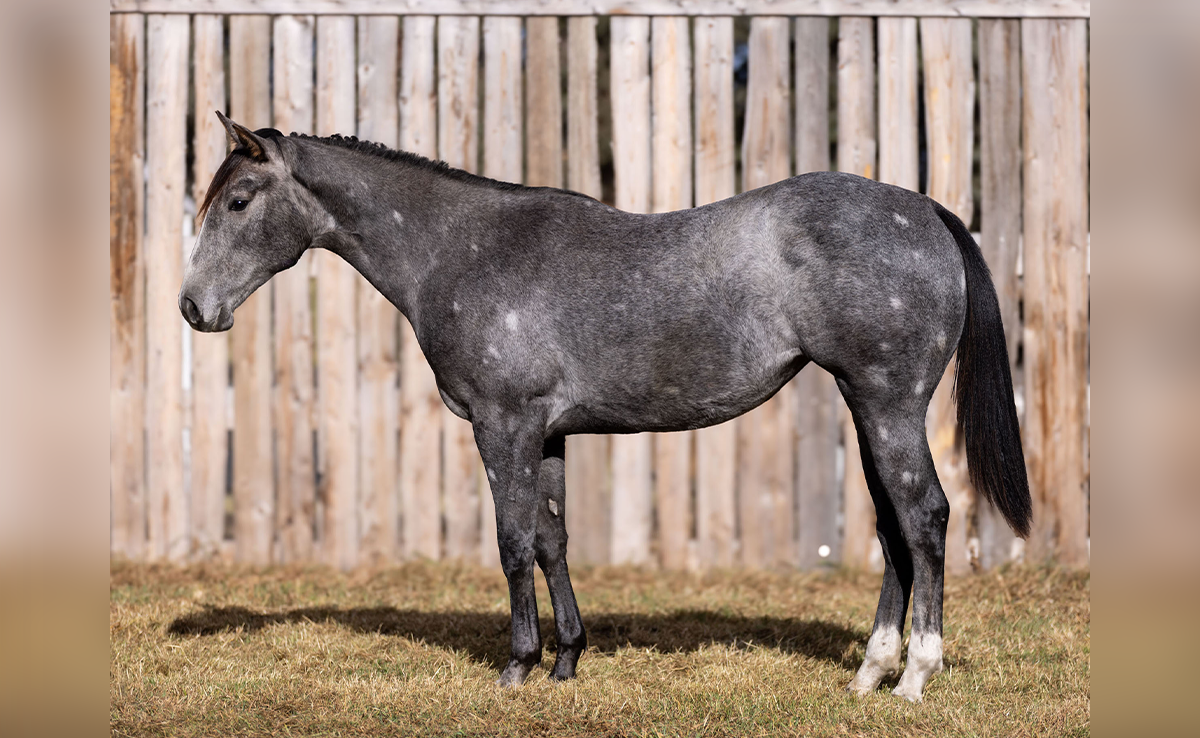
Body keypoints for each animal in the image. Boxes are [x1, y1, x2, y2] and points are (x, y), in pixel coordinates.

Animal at [180, 112, 1030, 702]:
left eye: (241, 201)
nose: (193, 308)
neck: (461, 250)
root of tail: (925, 211)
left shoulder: (505, 426)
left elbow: (512, 543)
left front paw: (516, 669)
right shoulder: (548, 435)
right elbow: (553, 541)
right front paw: (566, 660)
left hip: (889, 404)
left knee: (925, 519)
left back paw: (915, 676)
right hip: (864, 404)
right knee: (892, 529)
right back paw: (869, 673)